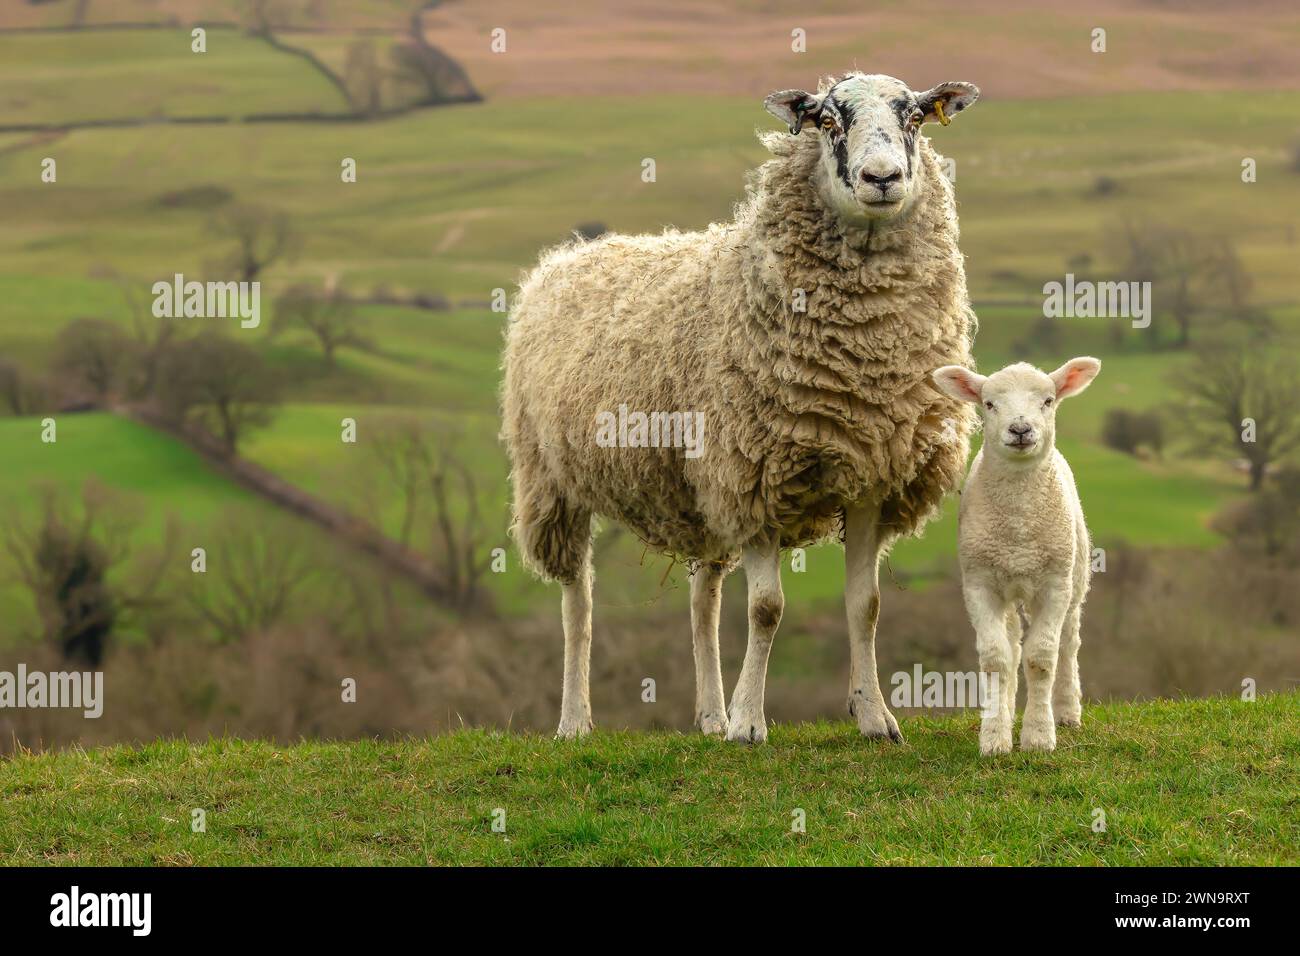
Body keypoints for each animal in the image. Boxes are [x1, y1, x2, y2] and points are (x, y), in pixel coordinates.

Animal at [501, 73, 982, 742]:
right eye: (827, 121)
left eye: (914, 117)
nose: (882, 178)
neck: (862, 355)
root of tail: (568, 256)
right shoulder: (755, 476)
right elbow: (766, 608)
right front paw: (752, 723)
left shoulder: (868, 478)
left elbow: (866, 606)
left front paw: (873, 716)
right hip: (553, 480)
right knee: (579, 599)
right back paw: (576, 720)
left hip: (698, 490)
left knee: (703, 598)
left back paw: (710, 715)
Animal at [929, 357, 1101, 755]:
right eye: (989, 403)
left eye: (1048, 401)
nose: (1020, 429)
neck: (1019, 529)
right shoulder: (979, 584)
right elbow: (997, 660)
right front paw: (995, 736)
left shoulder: (1054, 585)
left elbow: (1041, 658)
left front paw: (1039, 736)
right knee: (1011, 644)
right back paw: (1006, 712)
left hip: (1075, 579)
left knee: (1068, 645)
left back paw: (1067, 712)